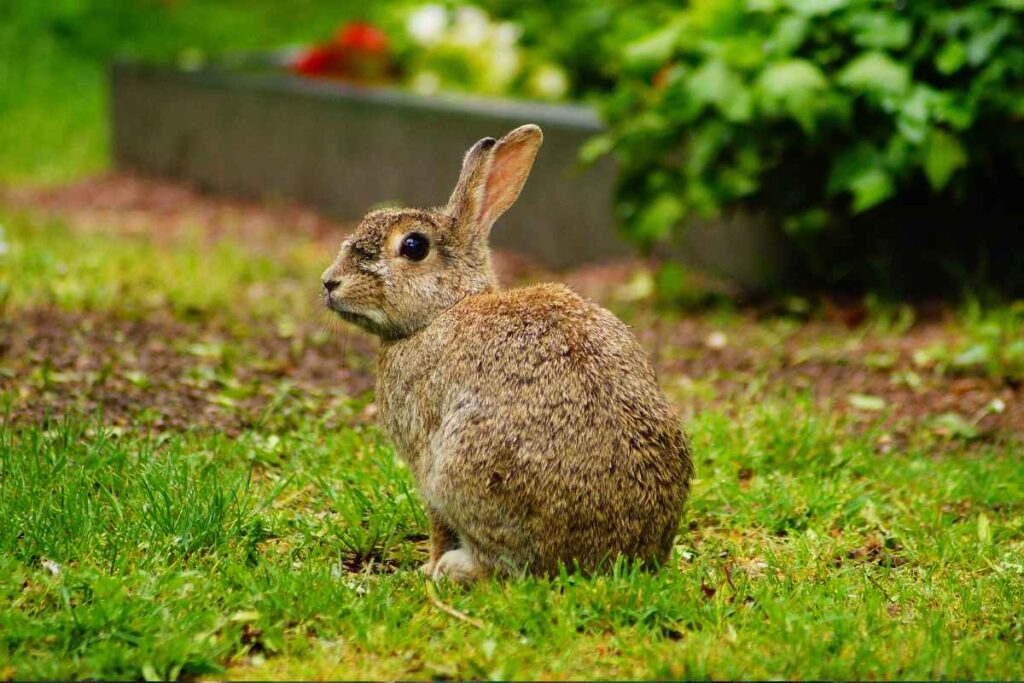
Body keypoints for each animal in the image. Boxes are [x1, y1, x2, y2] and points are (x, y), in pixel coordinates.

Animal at [321, 124, 692, 582]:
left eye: (413, 246)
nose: (330, 282)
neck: (446, 307)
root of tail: (610, 557)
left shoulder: (425, 452)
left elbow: (436, 521)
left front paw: (426, 567)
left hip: (463, 471)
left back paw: (454, 568)